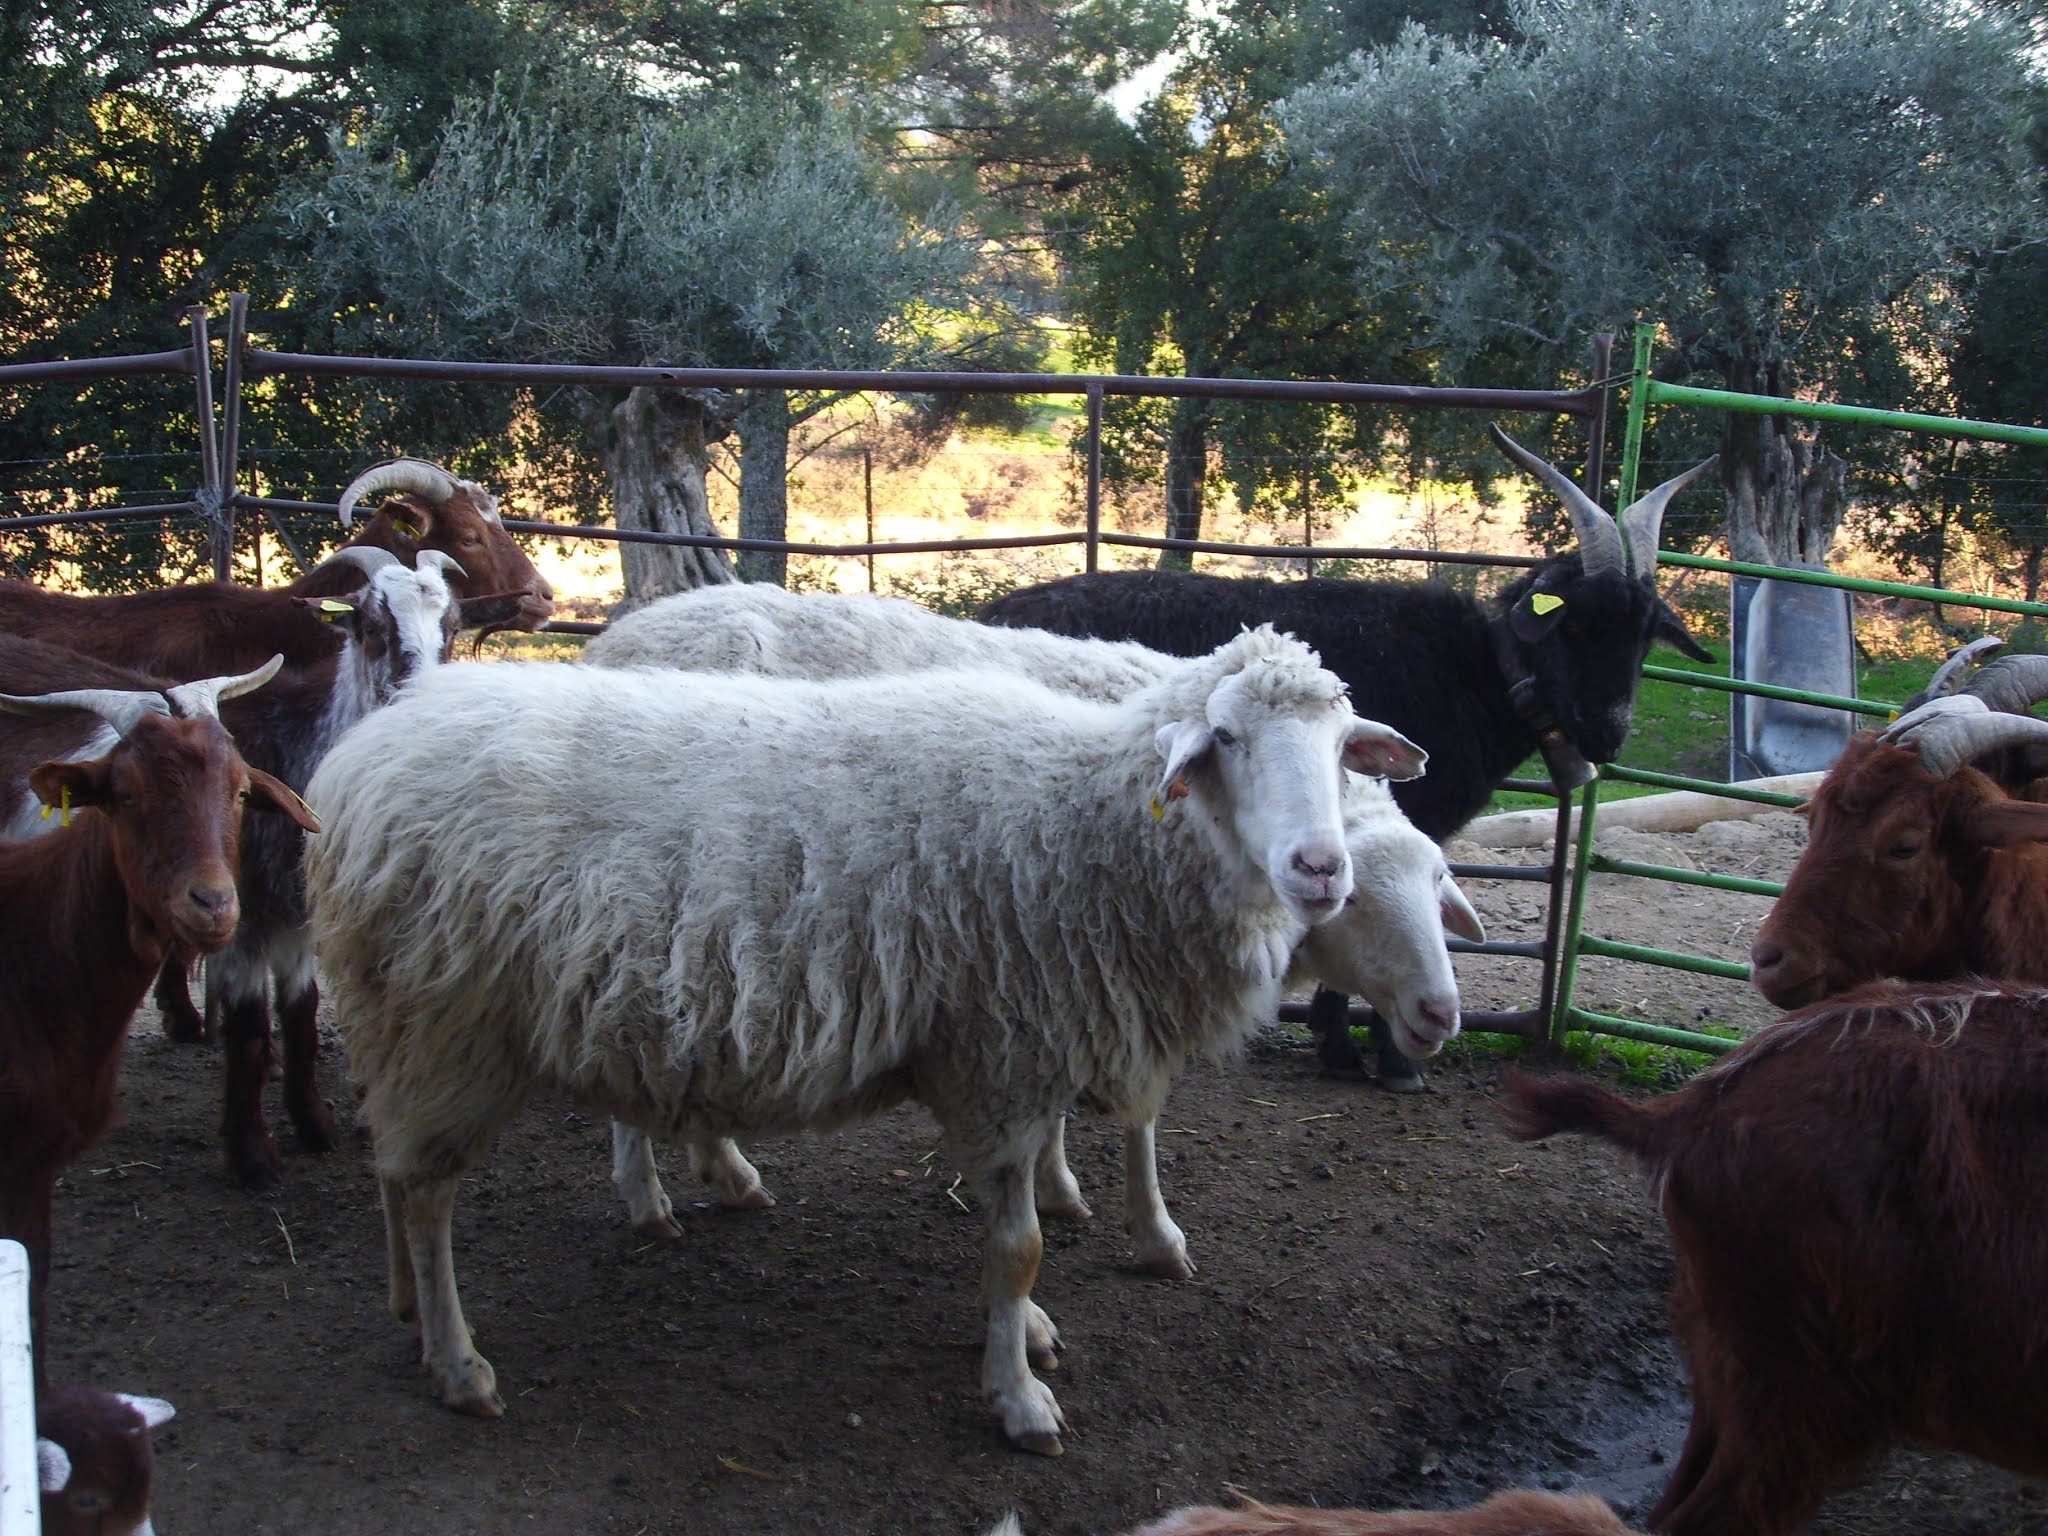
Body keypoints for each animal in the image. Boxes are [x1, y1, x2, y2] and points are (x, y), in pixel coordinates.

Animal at [304, 627, 1422, 1450]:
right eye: (1225, 738)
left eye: (1340, 748)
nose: (1320, 867)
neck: (1087, 823)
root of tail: (355, 764)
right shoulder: (1002, 1054)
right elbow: (1017, 1246)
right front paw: (1018, 1396)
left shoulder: (1009, 1054)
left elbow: (1016, 1228)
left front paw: (1027, 1336)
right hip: (443, 1023)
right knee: (429, 1195)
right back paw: (457, 1360)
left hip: (409, 1026)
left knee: (397, 1169)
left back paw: (411, 1309)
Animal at [586, 583, 1480, 1278]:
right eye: (1360, 902)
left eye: (1438, 884)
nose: (1440, 1013)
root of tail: (609, 640)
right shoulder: (1080, 943)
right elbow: (1138, 1116)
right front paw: (1149, 1232)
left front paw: (1057, 1183)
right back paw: (652, 1196)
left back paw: (717, 1170)